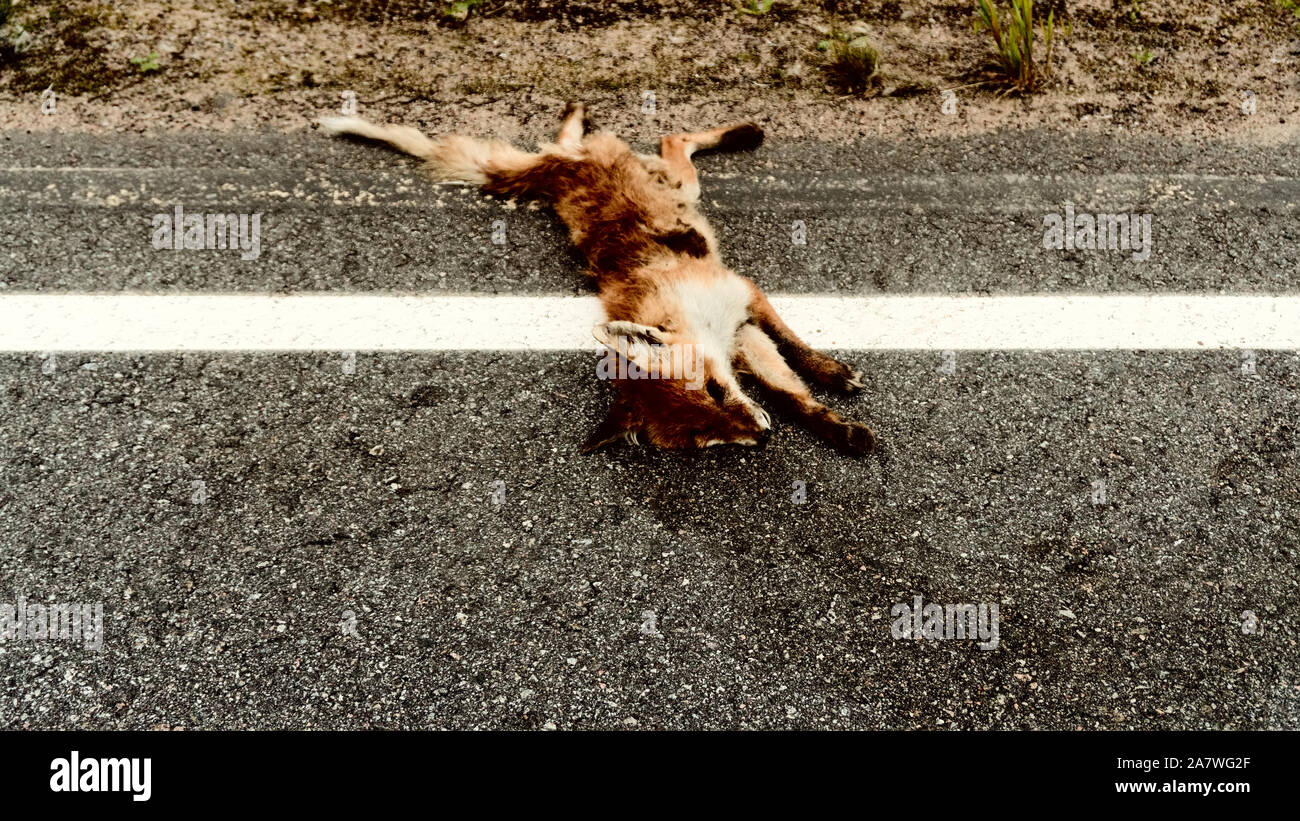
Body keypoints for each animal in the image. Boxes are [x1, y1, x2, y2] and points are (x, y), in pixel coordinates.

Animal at [319, 103, 875, 456]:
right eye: (709, 439)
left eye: (716, 392)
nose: (761, 438)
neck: (679, 313)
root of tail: (554, 171)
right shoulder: (739, 335)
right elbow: (789, 394)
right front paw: (838, 429)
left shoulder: (743, 300)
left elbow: (796, 358)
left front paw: (833, 378)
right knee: (663, 139)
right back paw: (578, 117)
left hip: (681, 185)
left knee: (673, 137)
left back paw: (736, 133)